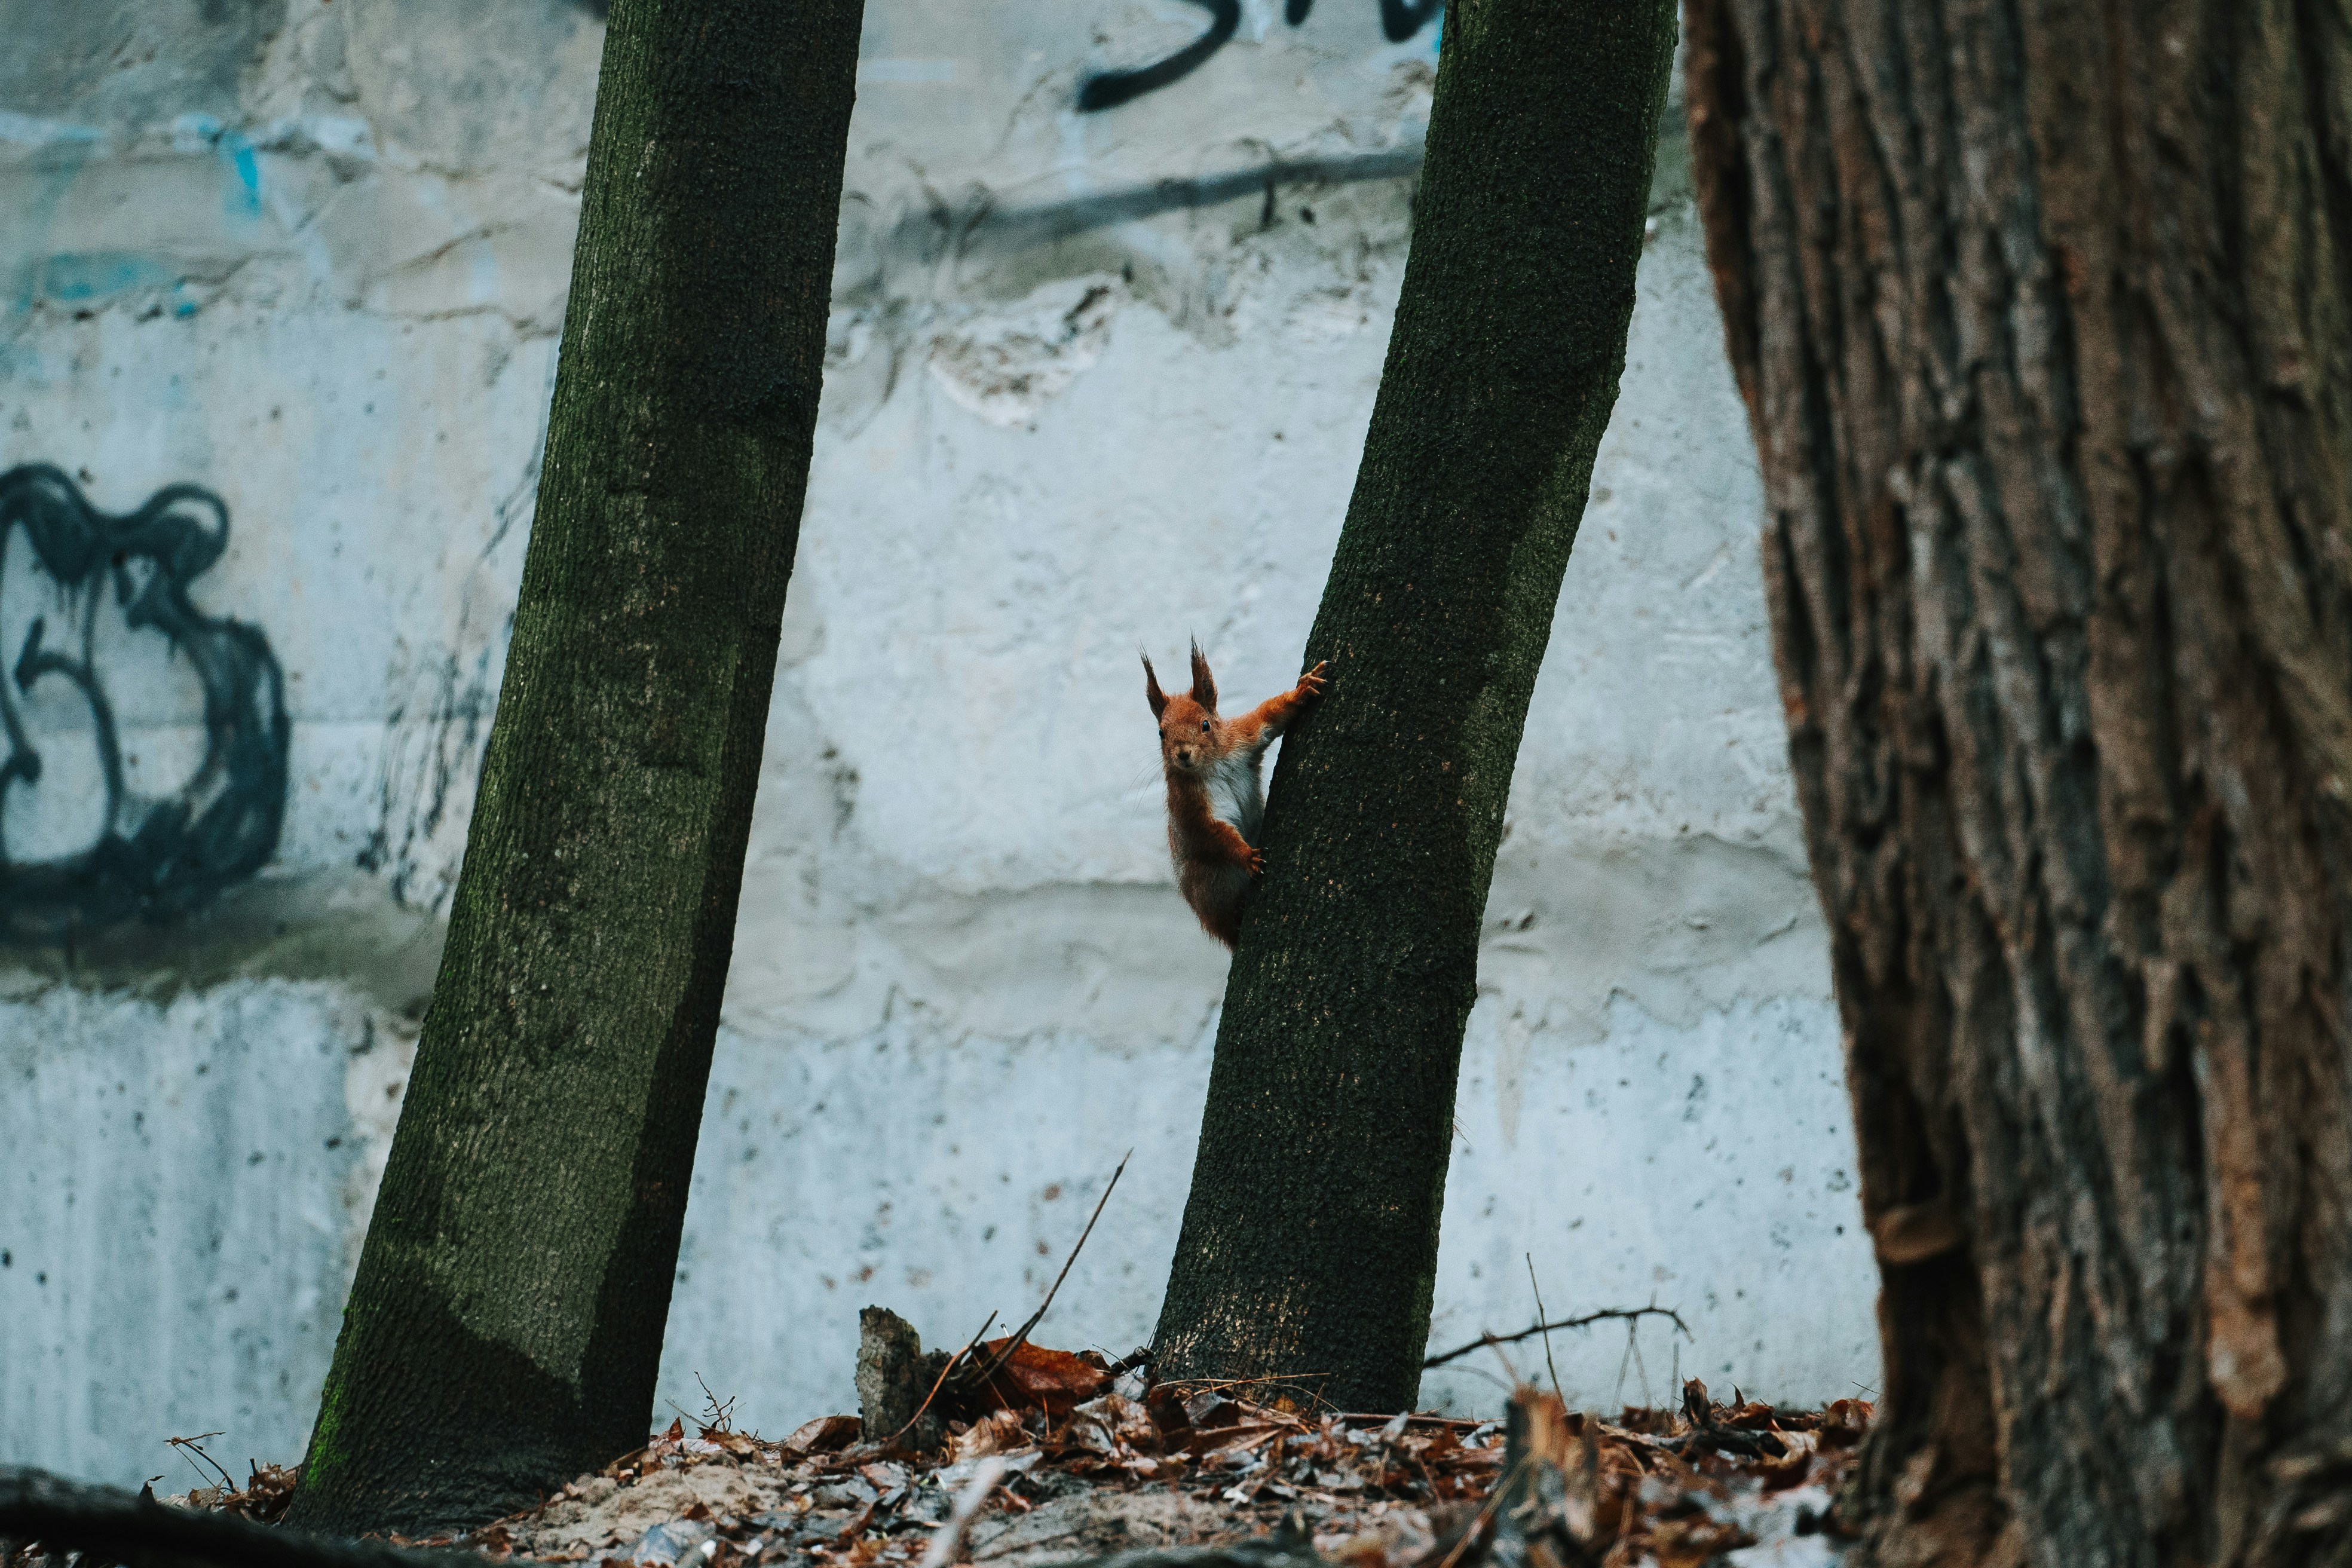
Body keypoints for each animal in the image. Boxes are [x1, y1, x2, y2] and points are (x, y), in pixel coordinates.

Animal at [1143, 641, 1328, 948]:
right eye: (1161, 733)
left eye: (1205, 724)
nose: (1183, 754)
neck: (1212, 762)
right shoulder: (1188, 803)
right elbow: (1214, 832)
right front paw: (1248, 857)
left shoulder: (1243, 738)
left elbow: (1269, 716)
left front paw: (1304, 689)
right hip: (1210, 884)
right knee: (1224, 922)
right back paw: (1236, 913)